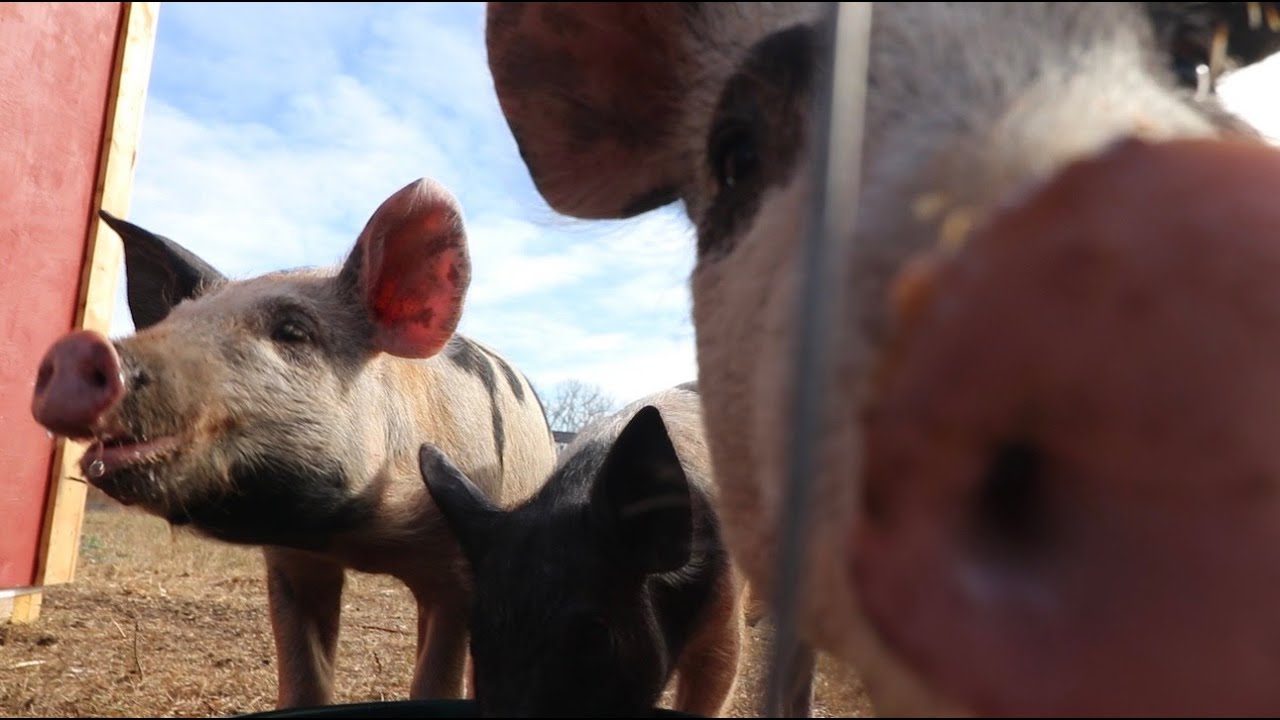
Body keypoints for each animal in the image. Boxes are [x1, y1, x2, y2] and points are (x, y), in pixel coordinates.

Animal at [29, 178, 560, 709]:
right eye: (175, 319)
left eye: (293, 331)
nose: (79, 348)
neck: (358, 537)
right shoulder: (292, 562)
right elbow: (304, 678)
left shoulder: (454, 565)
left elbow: (437, 676)